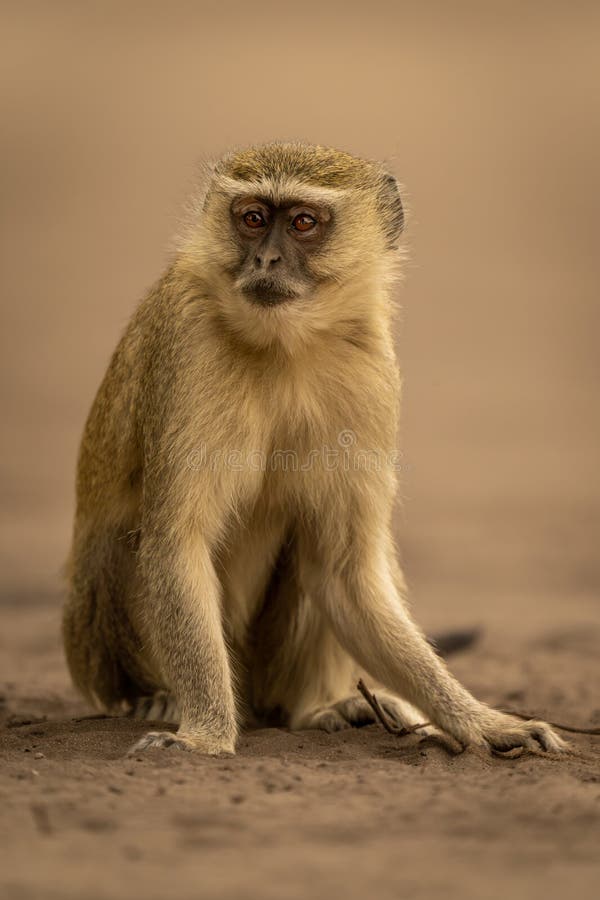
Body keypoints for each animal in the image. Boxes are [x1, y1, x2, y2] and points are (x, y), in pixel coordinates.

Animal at [62, 142, 566, 757]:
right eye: (253, 218)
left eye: (303, 223)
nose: (266, 261)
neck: (285, 345)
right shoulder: (188, 340)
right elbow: (175, 541)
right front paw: (205, 734)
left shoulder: (369, 363)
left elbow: (342, 571)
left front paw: (483, 723)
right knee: (123, 544)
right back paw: (158, 697)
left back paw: (318, 707)